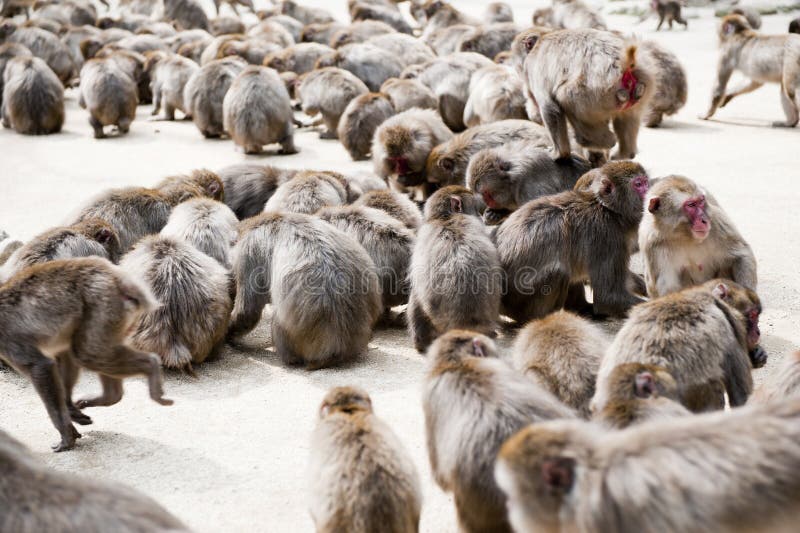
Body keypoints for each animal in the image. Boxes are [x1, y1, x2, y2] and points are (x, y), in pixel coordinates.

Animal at [0, 258, 172, 451]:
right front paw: (70, 413)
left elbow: (40, 366)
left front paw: (66, 434)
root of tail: (118, 276)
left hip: (103, 303)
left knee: (89, 354)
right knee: (84, 350)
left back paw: (151, 366)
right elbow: (62, 356)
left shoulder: (8, 337)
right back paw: (109, 396)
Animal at [496, 161, 649, 323]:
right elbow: (608, 298)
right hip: (519, 304)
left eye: (646, 182)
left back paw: (581, 307)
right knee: (560, 271)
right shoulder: (607, 236)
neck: (608, 210)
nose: (650, 193)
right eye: (638, 184)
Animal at [524, 29, 652, 165]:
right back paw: (625, 153)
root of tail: (625, 63)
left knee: (564, 97)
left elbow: (549, 108)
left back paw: (597, 140)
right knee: (630, 114)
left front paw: (559, 154)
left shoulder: (535, 68)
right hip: (641, 84)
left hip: (595, 92)